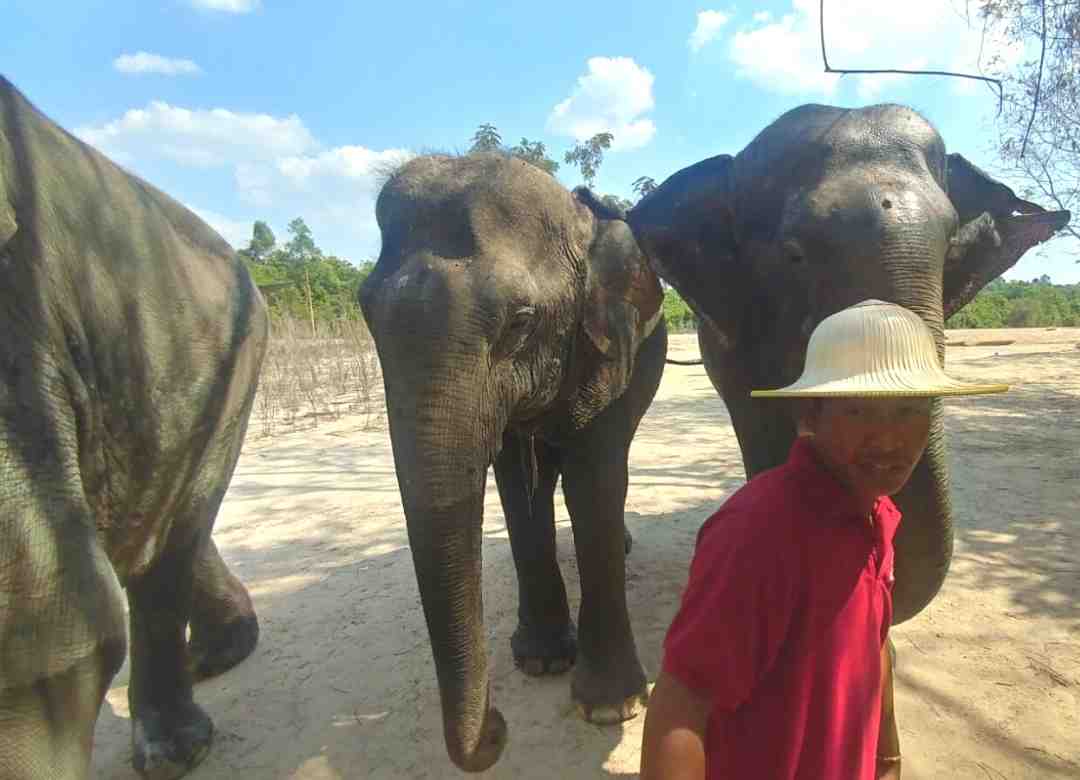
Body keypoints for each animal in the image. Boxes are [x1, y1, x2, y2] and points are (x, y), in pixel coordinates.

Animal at [0, 76, 267, 778]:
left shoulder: (22, 309)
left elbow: (42, 621)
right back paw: (211, 659)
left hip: (233, 366)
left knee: (170, 538)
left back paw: (180, 741)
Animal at [359, 153, 667, 772]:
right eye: (364, 313)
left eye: (521, 322)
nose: (496, 728)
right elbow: (516, 484)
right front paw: (542, 661)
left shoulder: (608, 350)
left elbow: (594, 480)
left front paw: (610, 708)